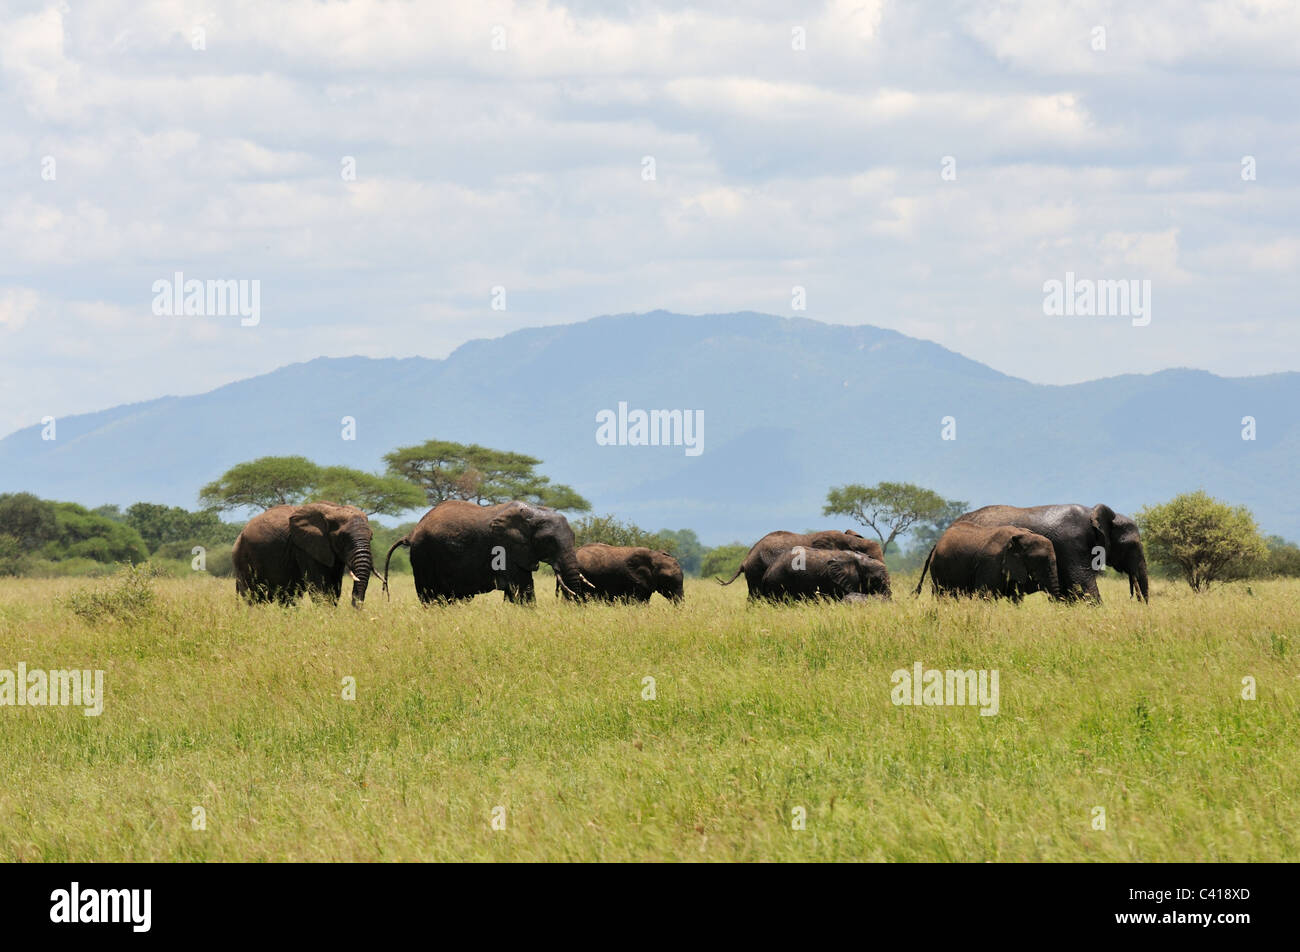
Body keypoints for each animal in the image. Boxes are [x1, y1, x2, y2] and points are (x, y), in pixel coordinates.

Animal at [232, 502, 374, 606]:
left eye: (371, 537)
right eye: (343, 538)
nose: (355, 608)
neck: (334, 509)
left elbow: (334, 589)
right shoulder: (305, 548)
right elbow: (320, 588)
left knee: (287, 597)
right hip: (242, 559)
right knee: (254, 597)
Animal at [383, 499, 592, 604]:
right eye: (548, 541)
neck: (533, 512)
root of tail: (412, 532)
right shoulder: (505, 548)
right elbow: (522, 588)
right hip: (423, 555)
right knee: (431, 596)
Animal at [914, 522, 1060, 601]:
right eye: (1039, 561)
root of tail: (937, 543)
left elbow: (1015, 598)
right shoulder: (990, 563)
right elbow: (986, 596)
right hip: (939, 568)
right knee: (944, 595)